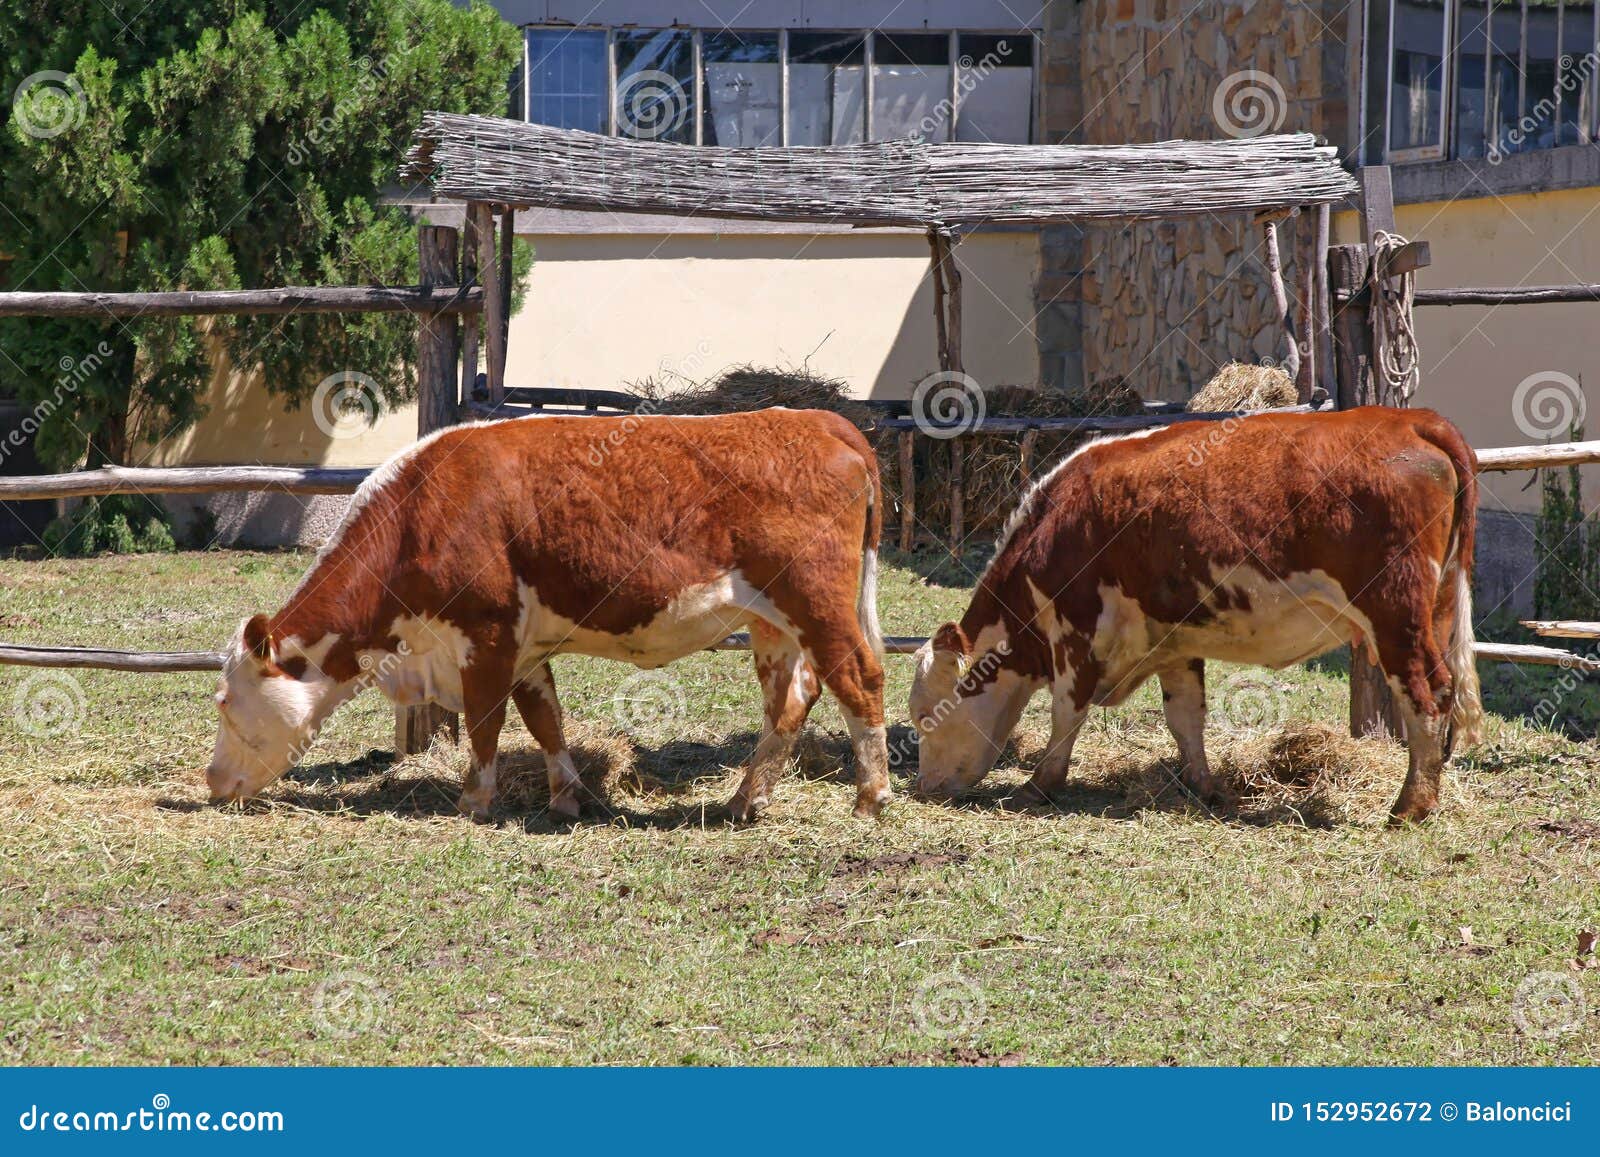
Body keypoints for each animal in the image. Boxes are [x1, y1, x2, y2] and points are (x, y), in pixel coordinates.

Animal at [205, 408, 891, 823]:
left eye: (226, 702)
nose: (212, 782)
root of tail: (817, 420)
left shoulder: (483, 634)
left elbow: (485, 722)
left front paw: (473, 801)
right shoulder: (524, 647)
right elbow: (545, 720)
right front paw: (567, 797)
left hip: (819, 604)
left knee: (859, 680)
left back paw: (871, 795)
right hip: (774, 621)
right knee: (791, 698)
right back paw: (746, 800)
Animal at [909, 406, 1483, 825]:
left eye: (921, 718)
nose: (924, 789)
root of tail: (1412, 419)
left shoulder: (1077, 632)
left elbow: (1066, 713)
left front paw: (1039, 785)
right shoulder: (1172, 642)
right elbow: (1185, 717)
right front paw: (1205, 787)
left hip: (1395, 614)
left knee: (1428, 694)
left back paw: (1410, 806)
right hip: (1434, 611)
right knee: (1446, 690)